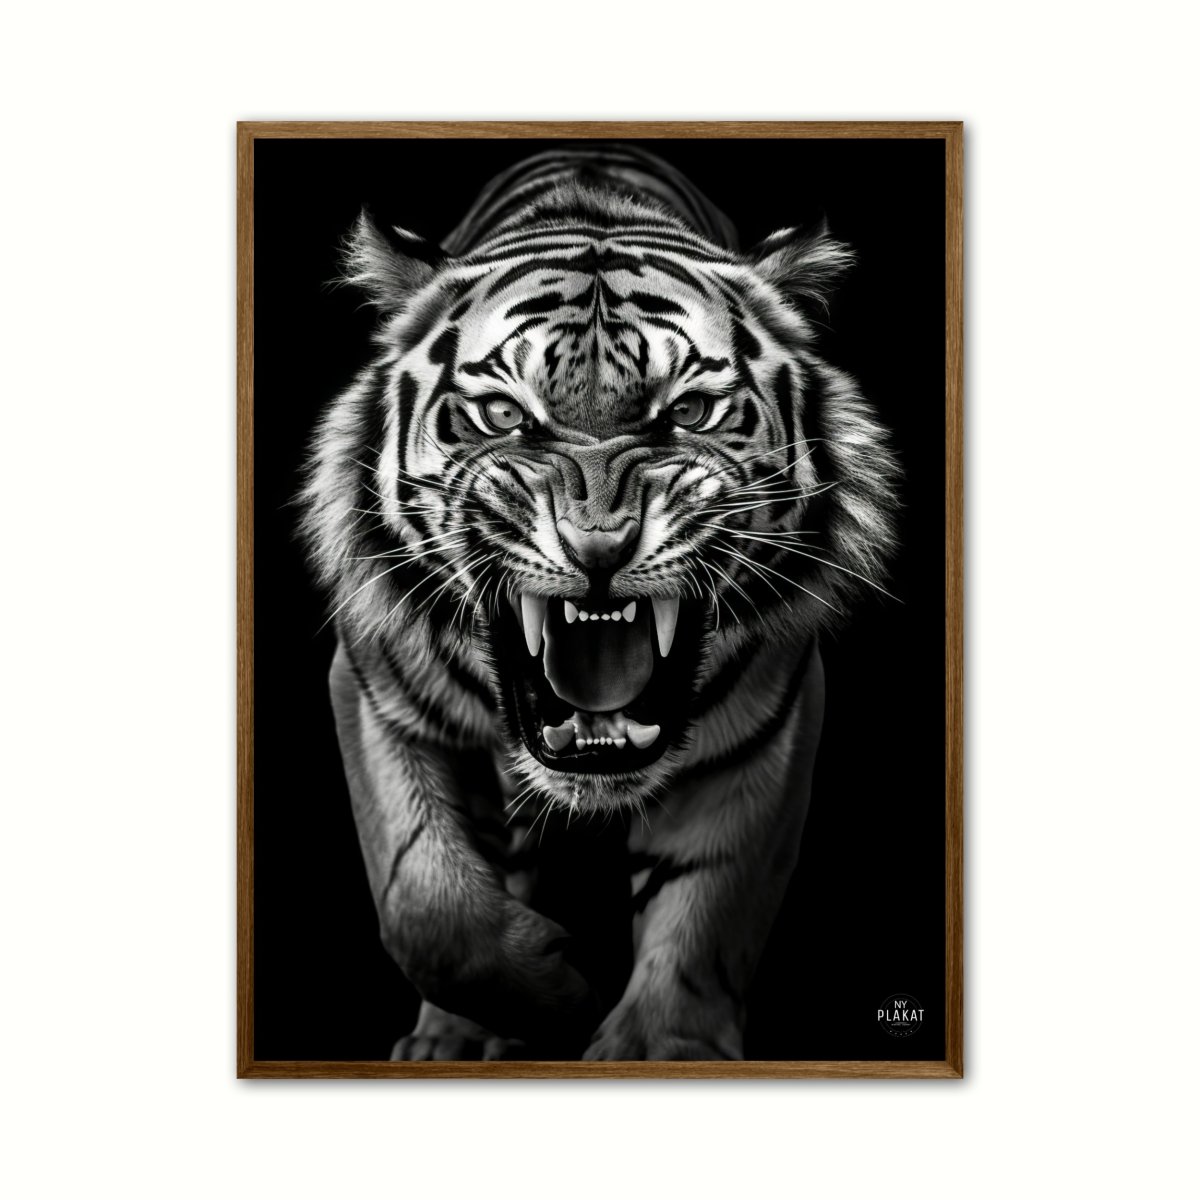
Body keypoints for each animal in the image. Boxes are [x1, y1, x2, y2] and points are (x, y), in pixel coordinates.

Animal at [300, 144, 900, 1061]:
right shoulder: (374, 694)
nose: (598, 546)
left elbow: (709, 911)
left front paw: (661, 1047)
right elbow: (426, 899)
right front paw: (553, 994)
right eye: (502, 415)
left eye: (691, 411)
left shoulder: (767, 730)